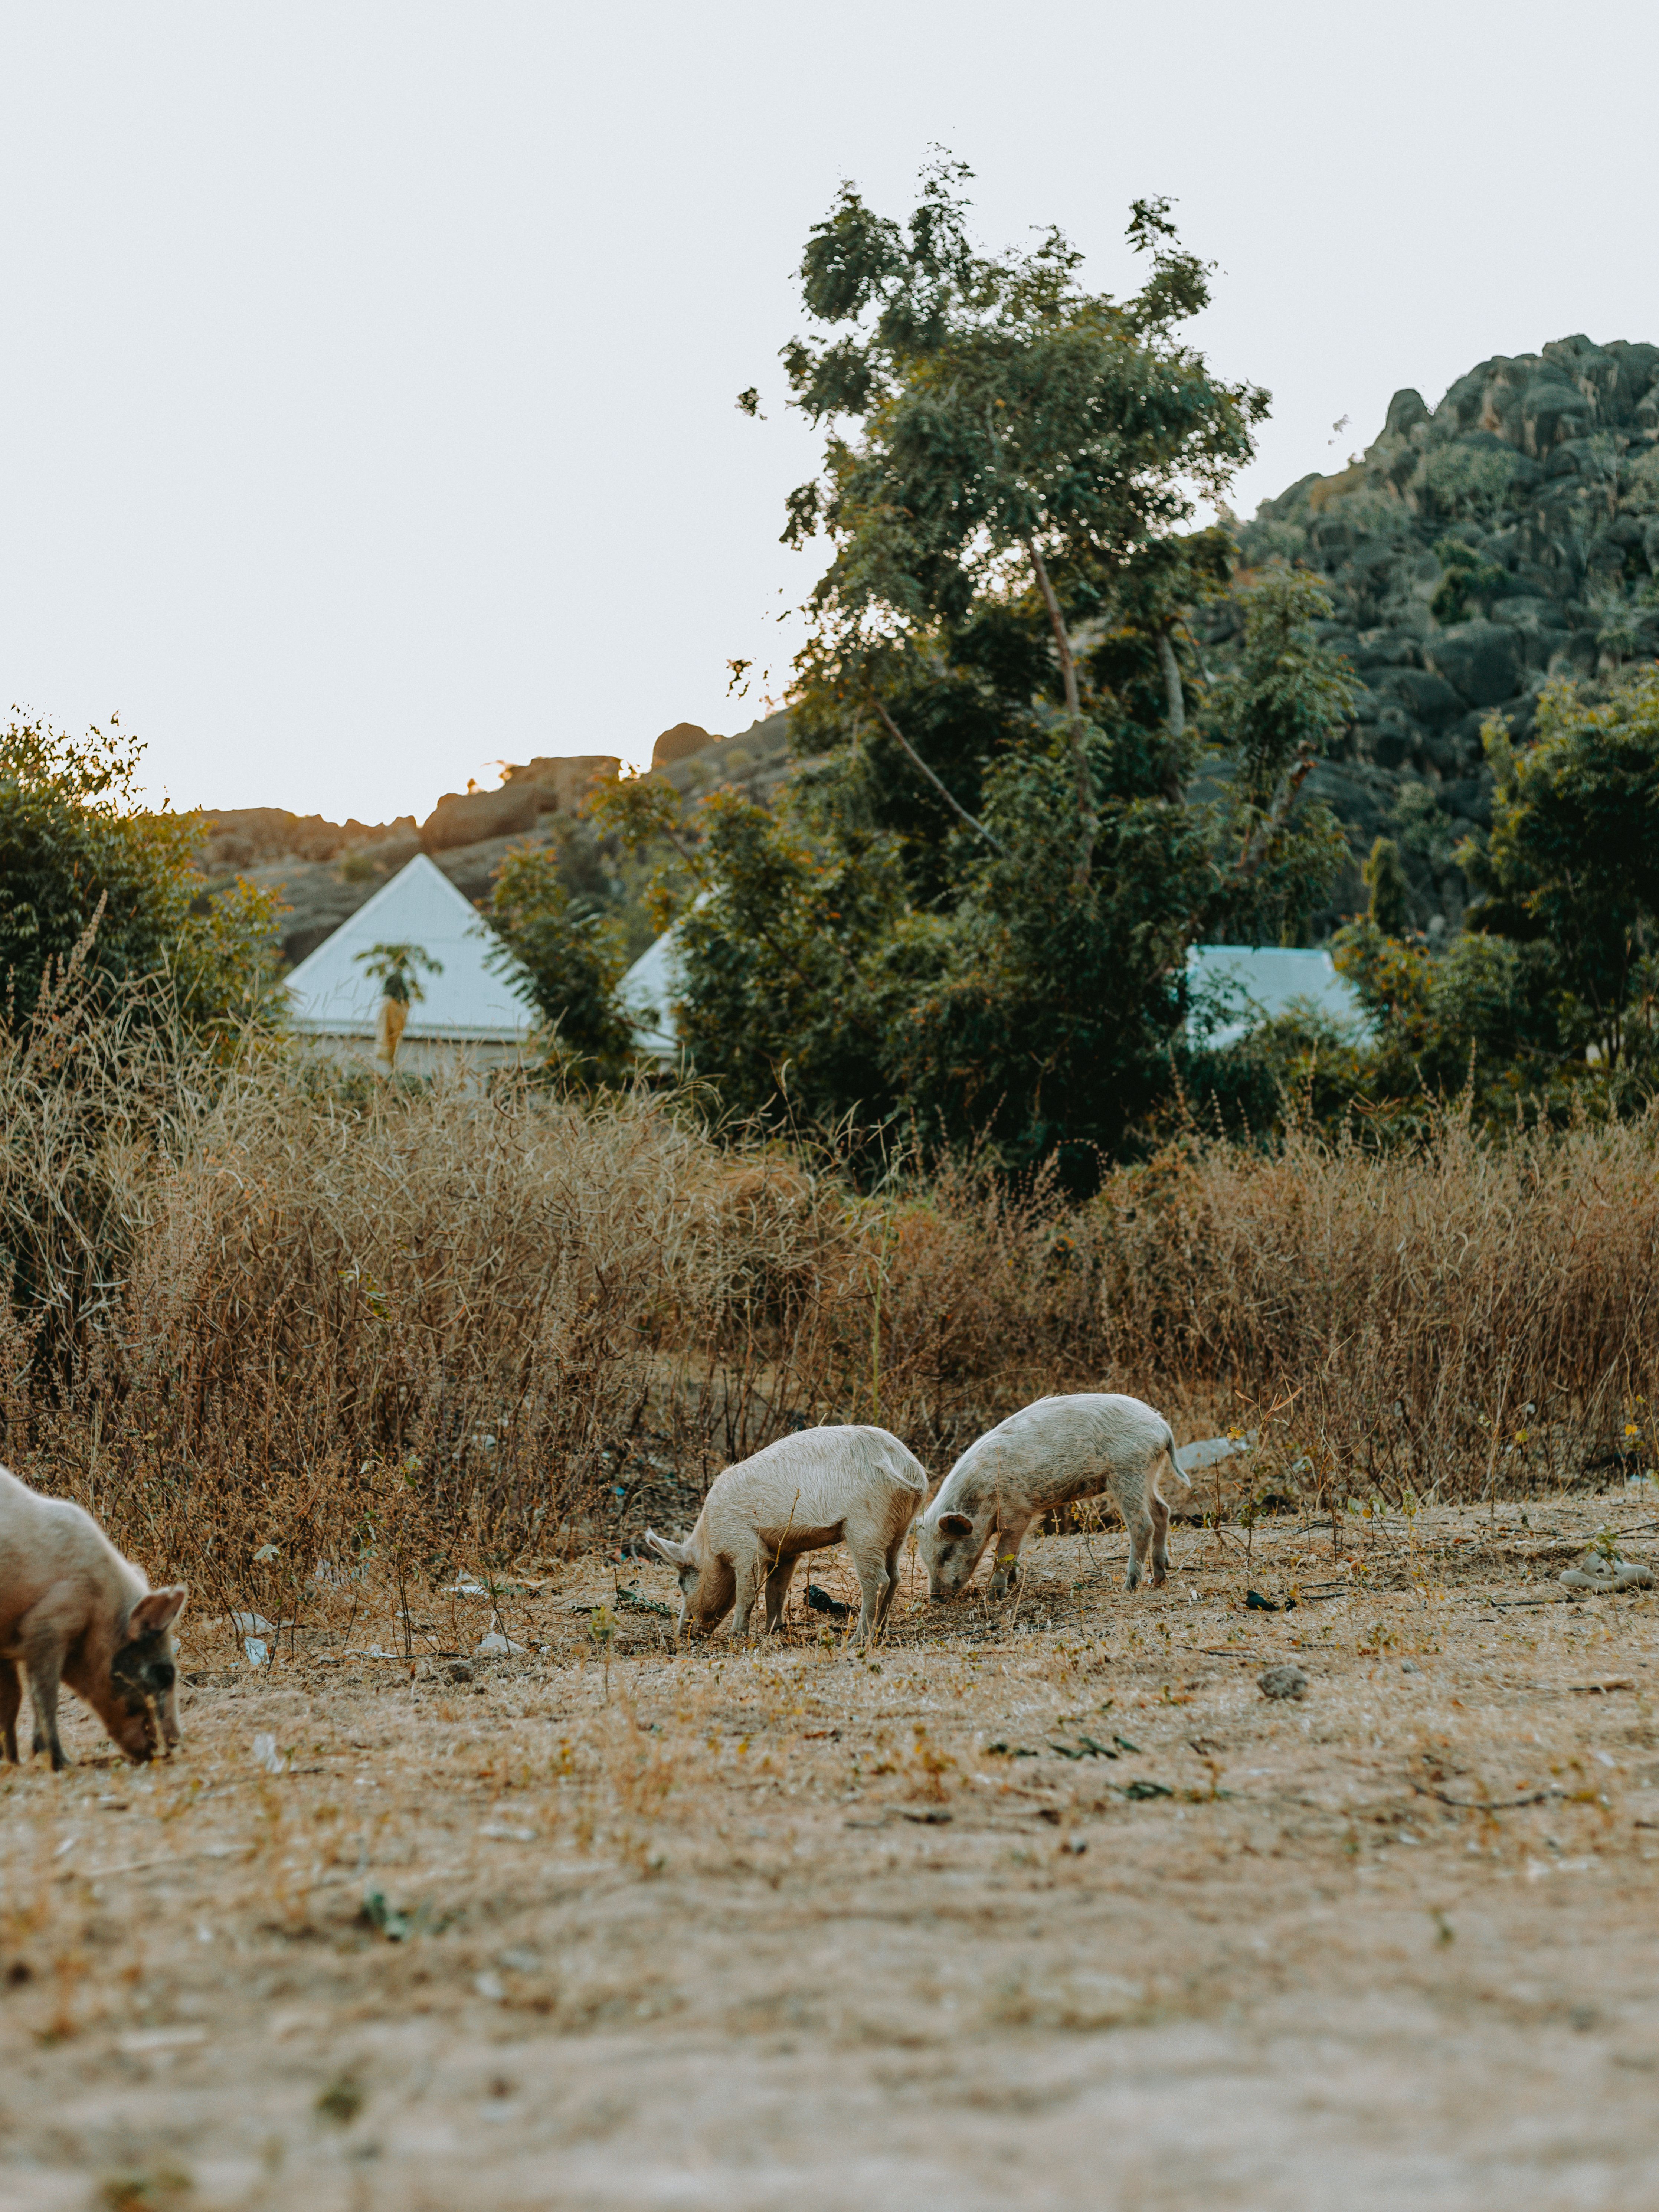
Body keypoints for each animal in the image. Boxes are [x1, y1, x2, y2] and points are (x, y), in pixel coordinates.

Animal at [0, 1466, 188, 1770]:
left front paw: (14, 1763)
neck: (100, 1609)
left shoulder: (6, 1648)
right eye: (165, 1674)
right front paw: (62, 1764)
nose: (177, 1745)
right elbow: (44, 1696)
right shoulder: (46, 1628)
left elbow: (11, 1700)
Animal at [644, 1424, 927, 1647]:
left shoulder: (745, 1546)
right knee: (894, 1577)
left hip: (866, 1527)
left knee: (878, 1581)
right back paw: (881, 1634)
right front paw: (774, 1629)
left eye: (681, 1583)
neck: (710, 1544)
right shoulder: (786, 1550)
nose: (682, 1634)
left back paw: (856, 1642)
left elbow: (747, 1593)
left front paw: (738, 1636)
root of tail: (904, 1465)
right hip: (900, 1528)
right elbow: (776, 1588)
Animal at [917, 1393, 1189, 1602]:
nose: (935, 1600)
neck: (982, 1492)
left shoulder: (1016, 1509)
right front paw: (1014, 1585)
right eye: (925, 1557)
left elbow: (1003, 1551)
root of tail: (1163, 1428)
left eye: (947, 1552)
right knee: (1162, 1510)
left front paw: (994, 1597)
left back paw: (1129, 1587)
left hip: (1128, 1473)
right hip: (1149, 1473)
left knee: (1142, 1525)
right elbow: (1015, 1551)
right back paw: (1159, 1578)